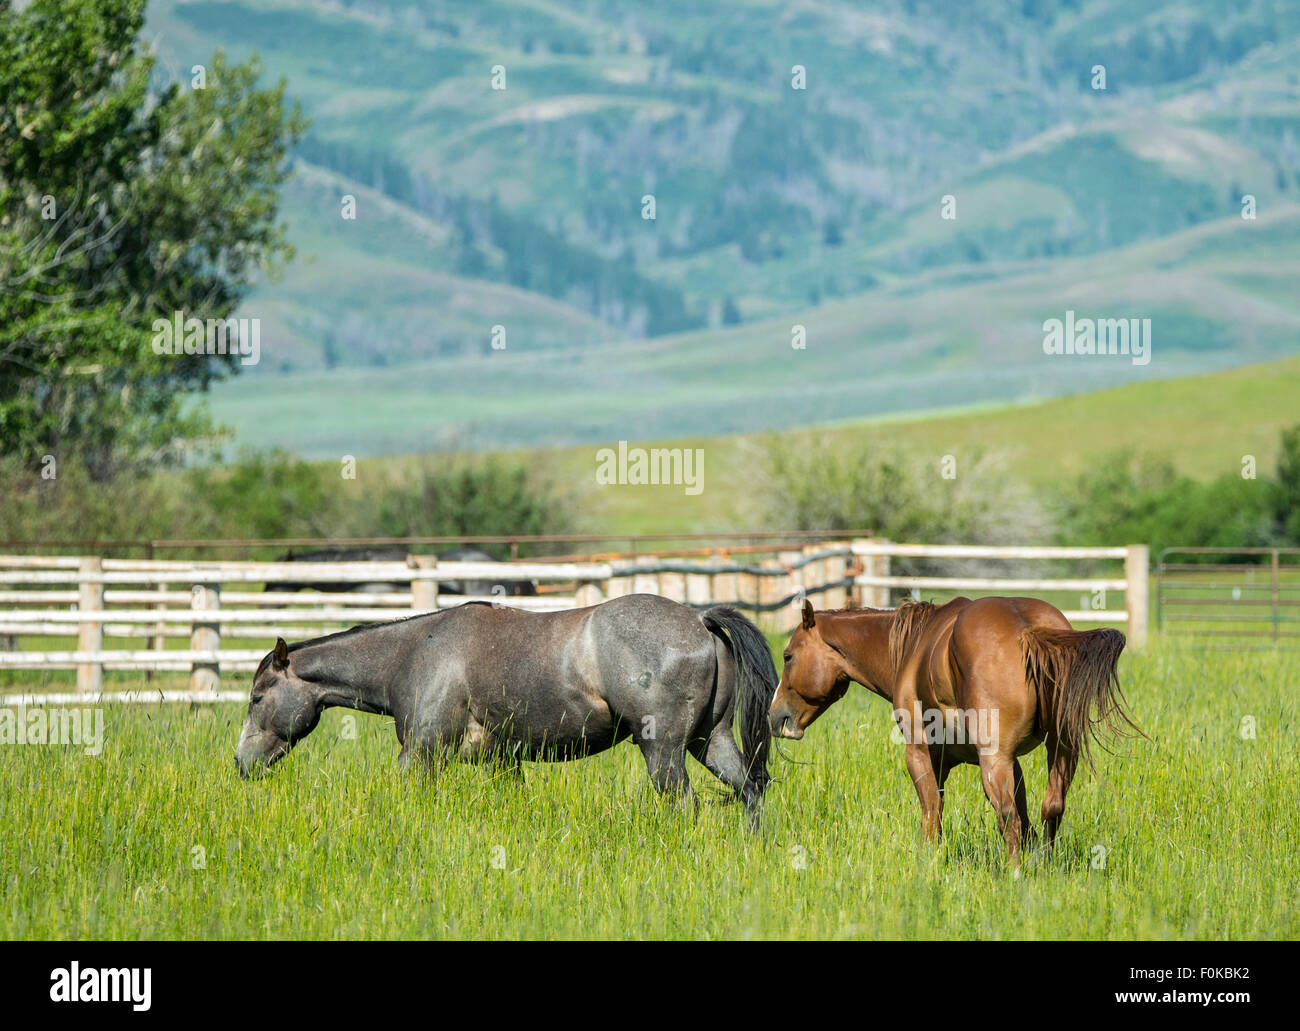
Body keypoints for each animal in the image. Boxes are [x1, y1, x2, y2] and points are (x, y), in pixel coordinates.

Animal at [234, 595, 777, 816]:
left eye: (257, 697)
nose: (241, 764)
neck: (415, 652)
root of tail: (700, 620)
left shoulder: (421, 755)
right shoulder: (503, 761)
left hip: (663, 752)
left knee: (684, 805)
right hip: (711, 742)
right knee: (751, 794)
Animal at [768, 597, 1140, 863]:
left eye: (787, 656)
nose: (774, 717)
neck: (913, 645)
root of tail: (1029, 630)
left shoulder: (921, 755)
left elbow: (932, 815)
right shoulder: (1003, 762)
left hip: (995, 762)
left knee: (1008, 817)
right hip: (1062, 749)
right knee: (1052, 807)